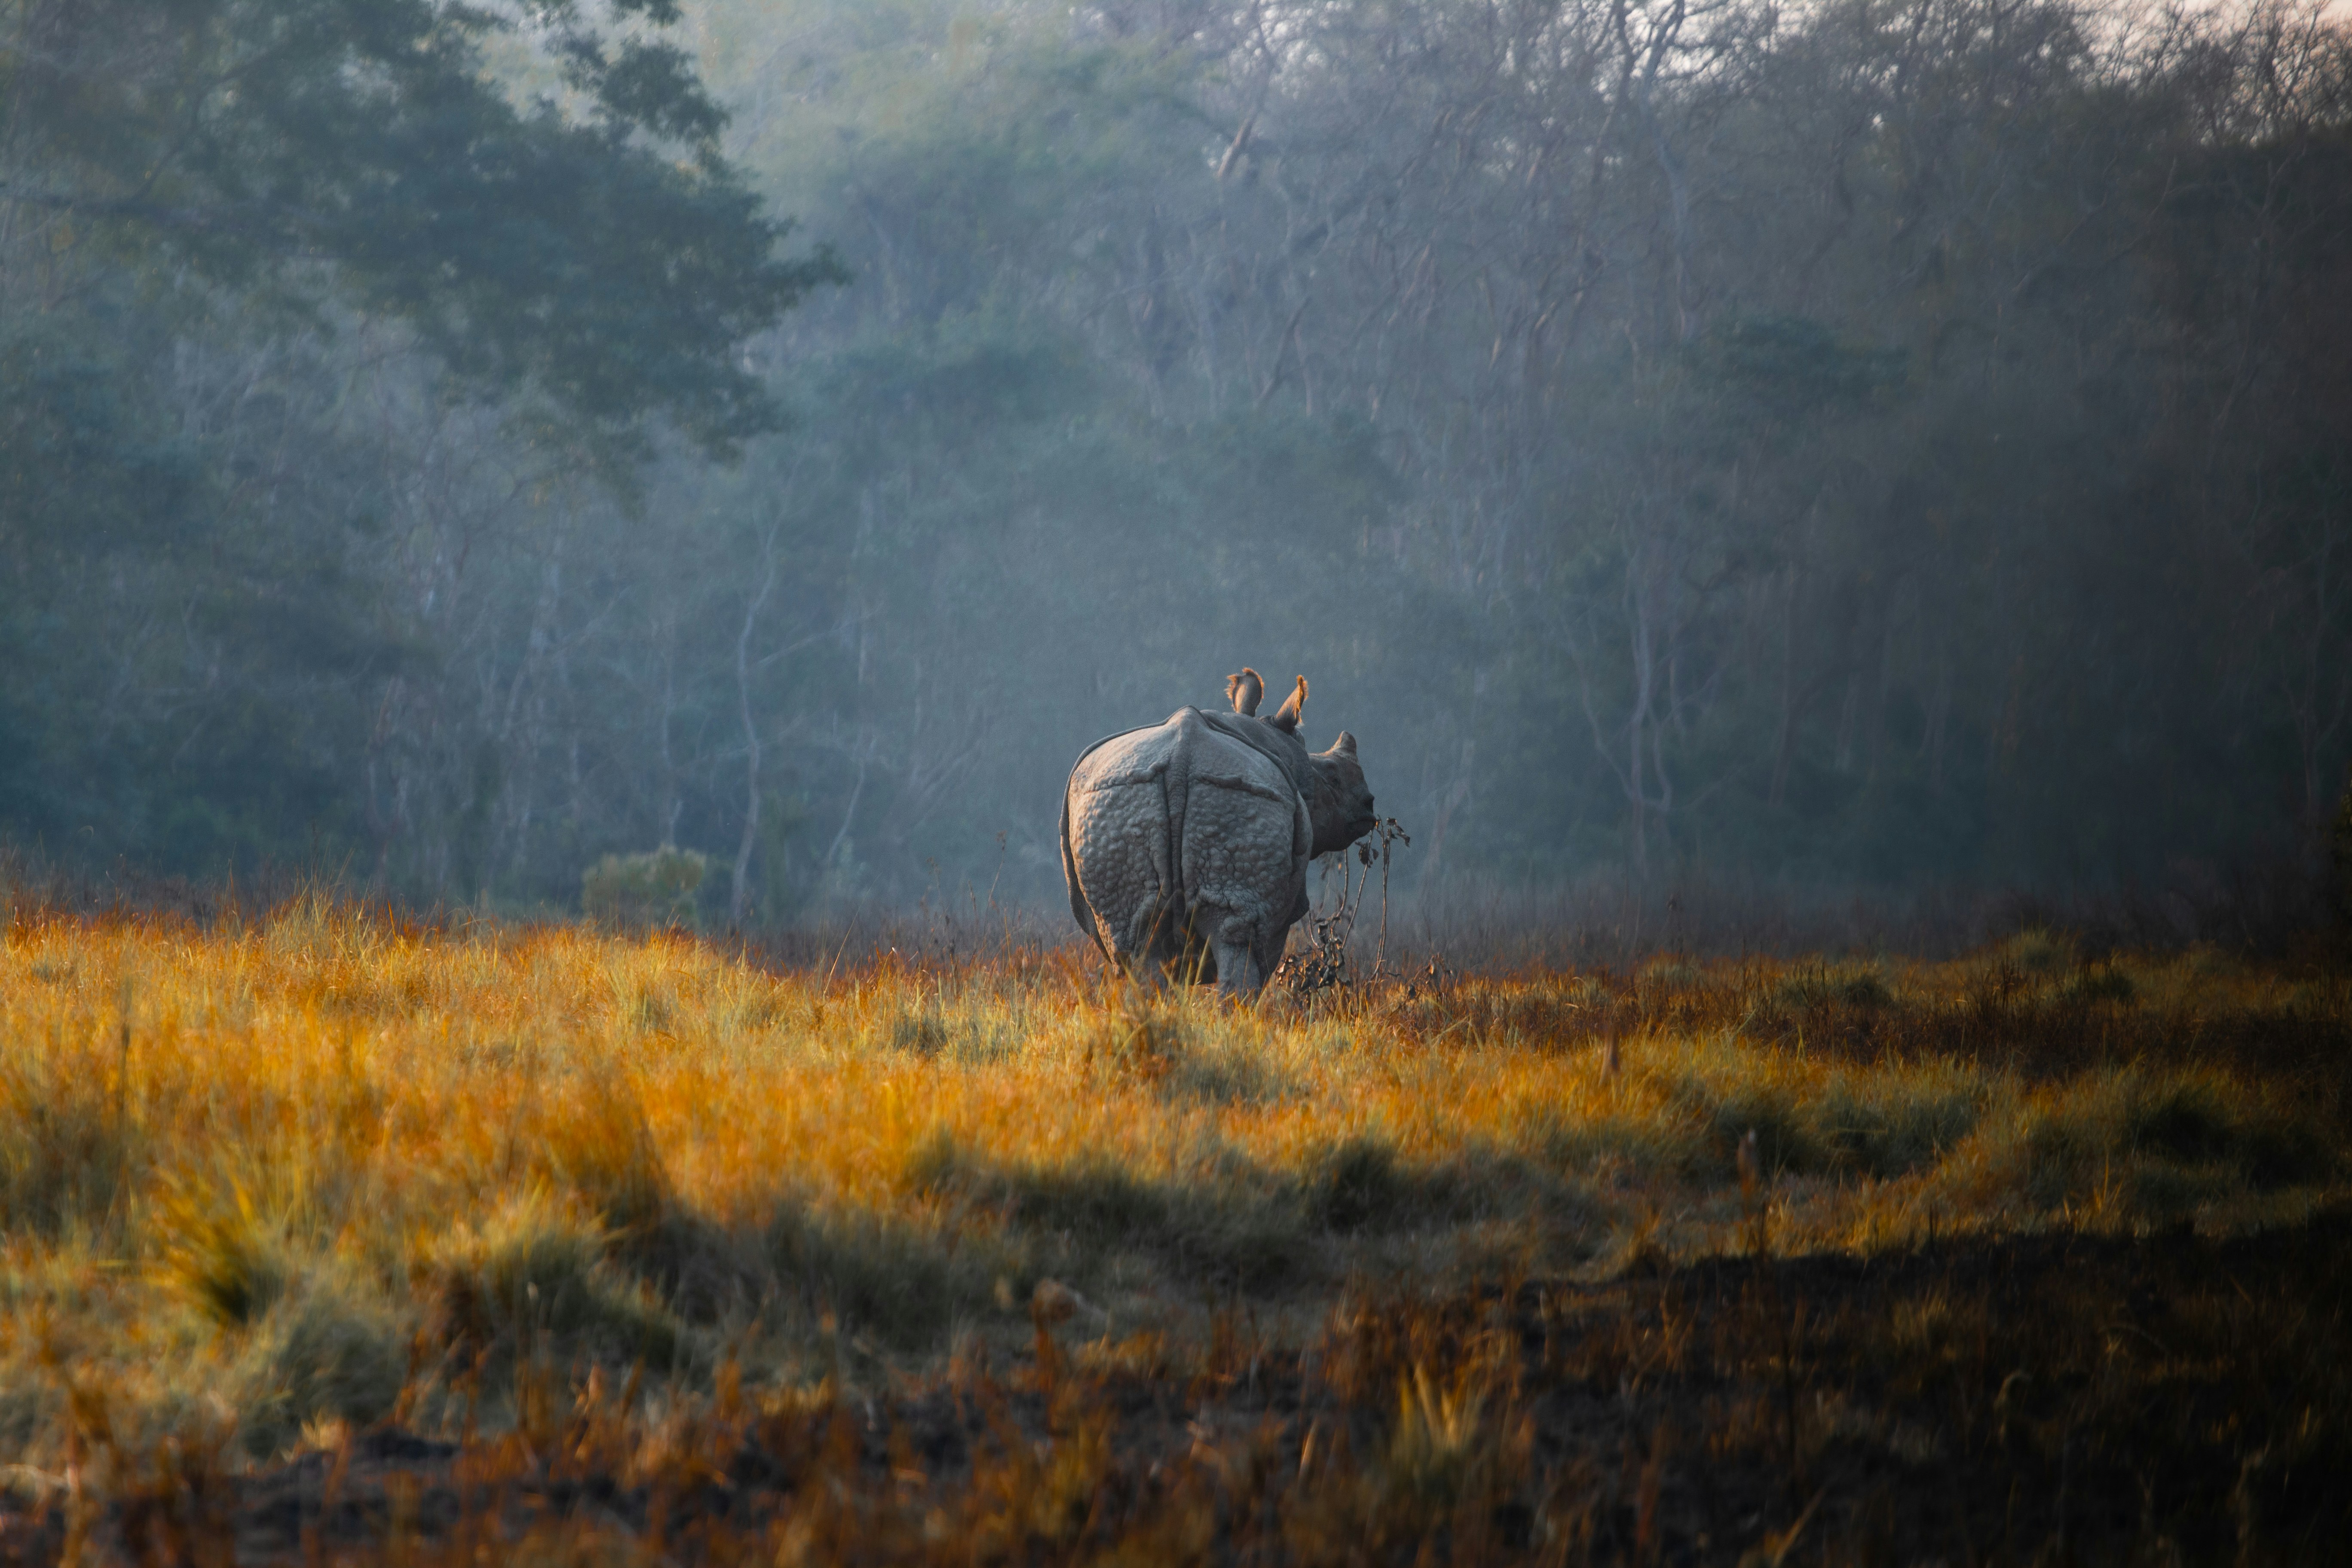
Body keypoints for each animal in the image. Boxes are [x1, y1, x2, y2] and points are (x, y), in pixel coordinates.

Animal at [1060, 668, 1378, 995]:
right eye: (1334, 779)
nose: (1369, 805)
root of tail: (1180, 762)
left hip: (1118, 801)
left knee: (1137, 944)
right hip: (1242, 797)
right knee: (1236, 942)